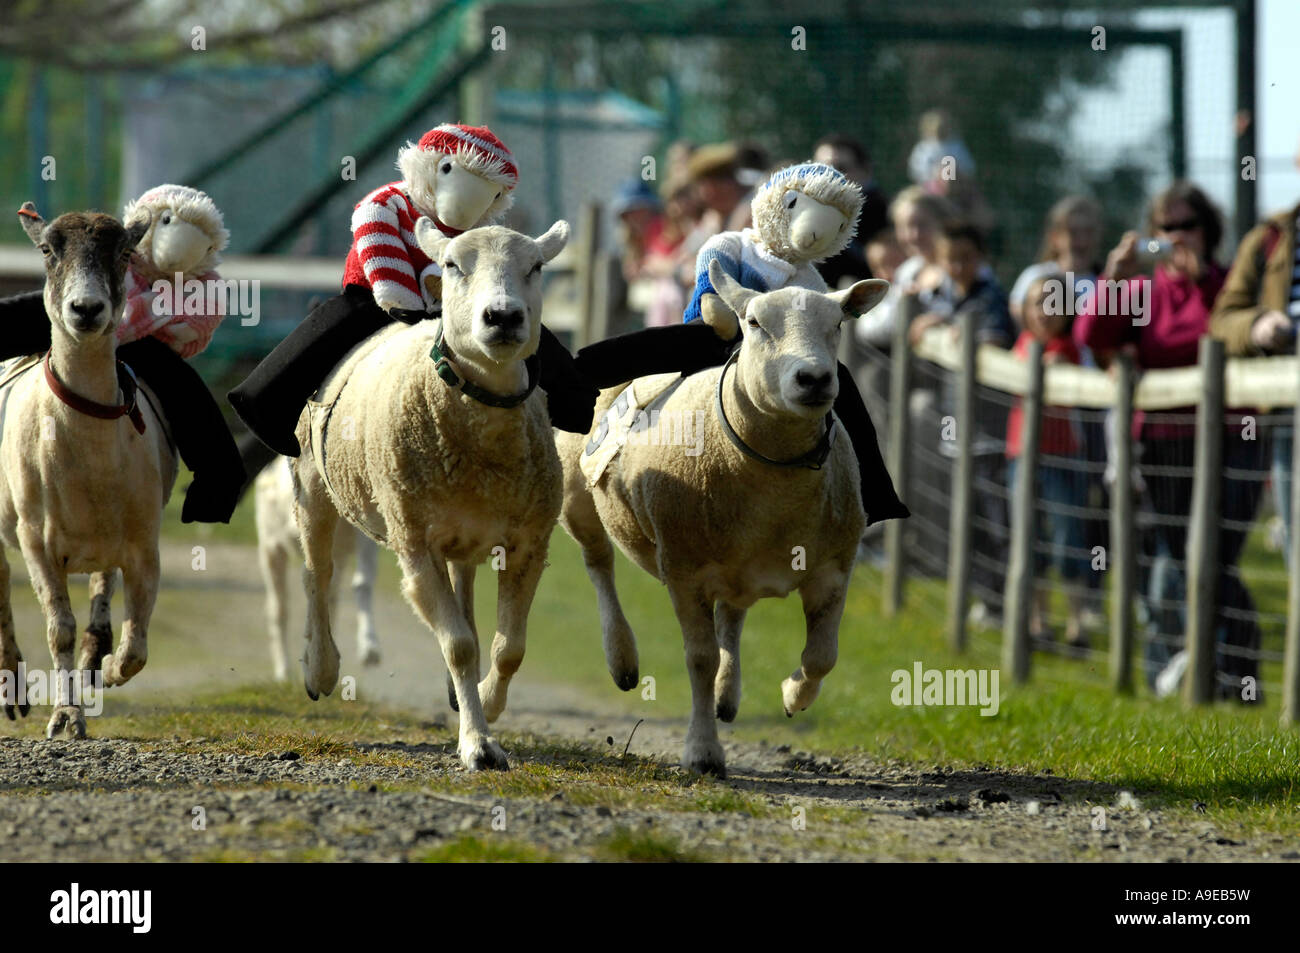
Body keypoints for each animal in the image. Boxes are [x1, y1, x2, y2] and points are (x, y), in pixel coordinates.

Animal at [1, 204, 176, 738]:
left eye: (124, 253)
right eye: (46, 250)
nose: (85, 310)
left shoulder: (143, 543)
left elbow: (136, 644)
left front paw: (113, 669)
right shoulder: (36, 540)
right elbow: (59, 629)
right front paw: (65, 717)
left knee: (101, 598)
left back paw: (96, 661)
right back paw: (13, 686)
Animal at [291, 219, 569, 771]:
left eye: (536, 267)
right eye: (453, 264)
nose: (502, 316)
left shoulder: (530, 543)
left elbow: (509, 649)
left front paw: (484, 703)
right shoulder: (415, 542)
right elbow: (459, 645)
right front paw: (478, 744)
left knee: (464, 597)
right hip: (312, 484)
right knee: (317, 574)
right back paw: (320, 668)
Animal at [557, 260, 888, 777]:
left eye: (837, 325)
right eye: (754, 323)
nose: (814, 378)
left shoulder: (834, 569)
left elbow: (823, 657)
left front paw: (792, 695)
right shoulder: (683, 569)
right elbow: (699, 658)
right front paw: (703, 751)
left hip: (737, 568)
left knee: (733, 613)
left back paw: (726, 695)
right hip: (577, 496)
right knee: (599, 565)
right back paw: (623, 659)